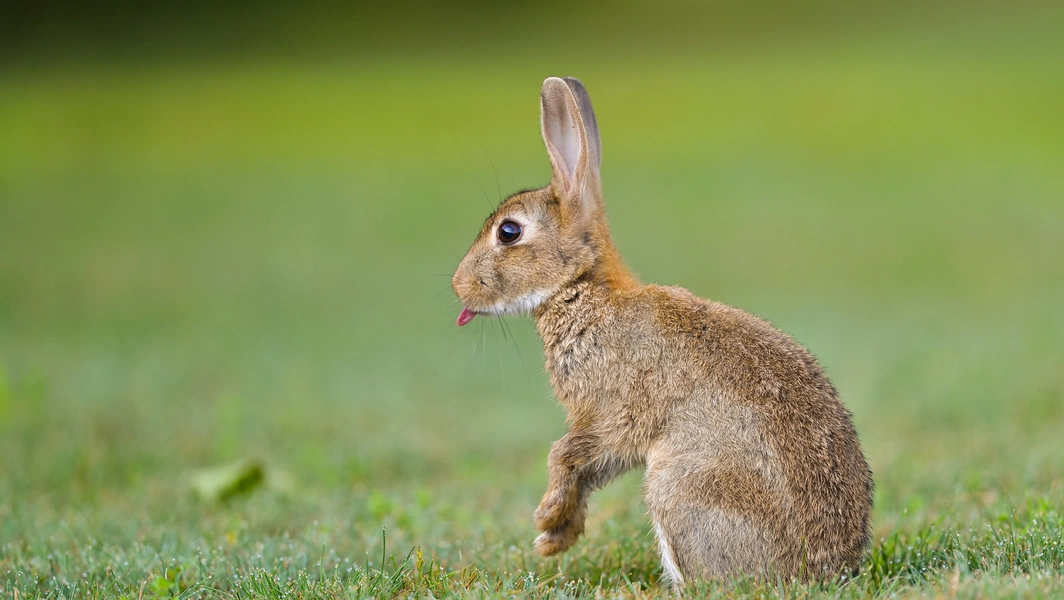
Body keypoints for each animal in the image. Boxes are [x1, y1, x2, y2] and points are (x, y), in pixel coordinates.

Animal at [451, 76, 873, 585]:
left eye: (509, 232)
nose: (457, 285)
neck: (585, 291)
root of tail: (824, 570)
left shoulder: (614, 411)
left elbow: (566, 453)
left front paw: (546, 521)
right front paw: (557, 537)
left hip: (678, 487)